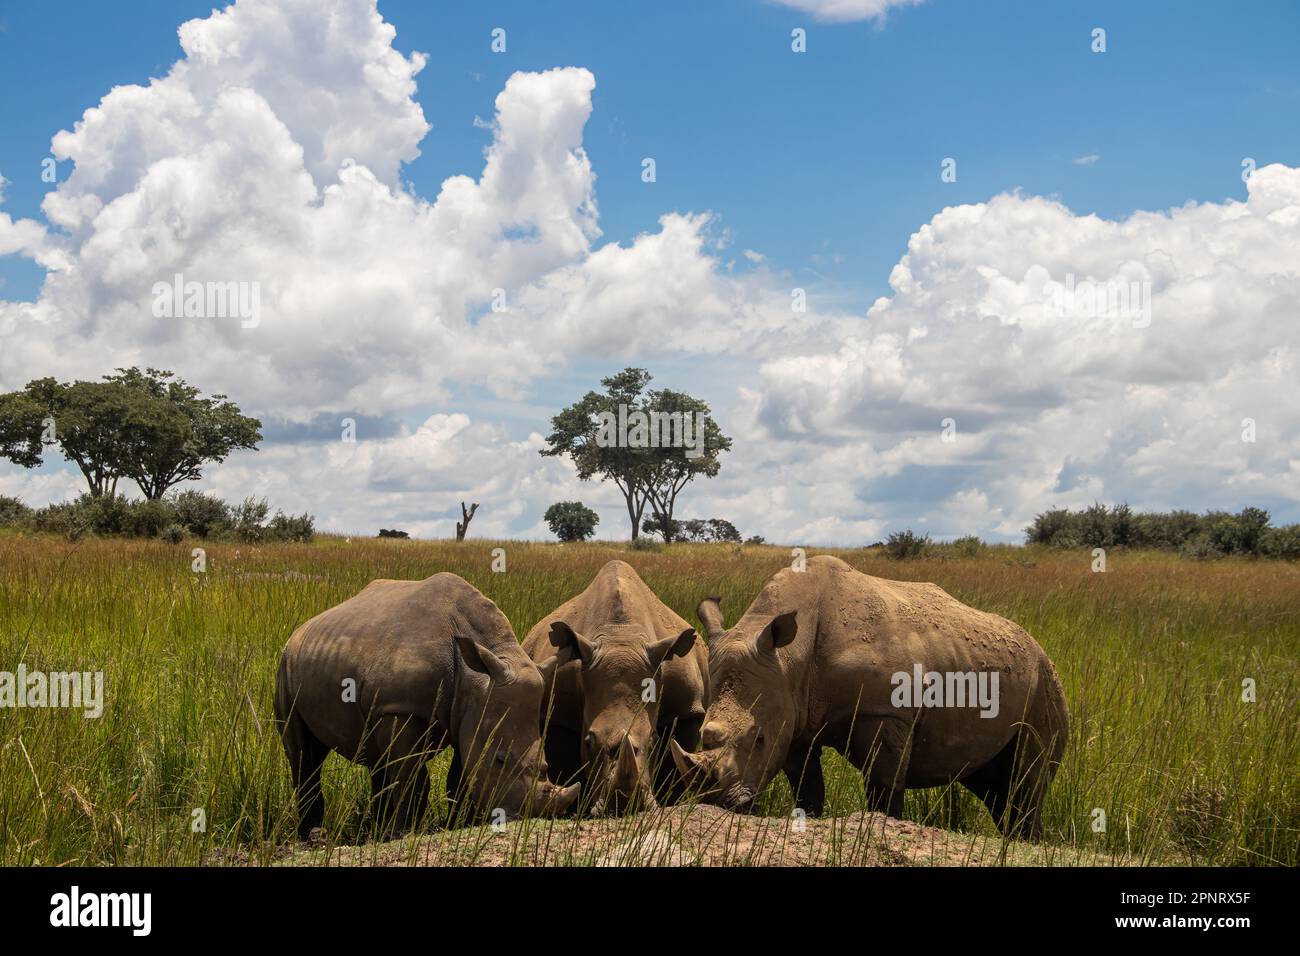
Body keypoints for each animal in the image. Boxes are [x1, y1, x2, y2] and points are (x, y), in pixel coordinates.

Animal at [274, 573, 579, 838]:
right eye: (500, 759)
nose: (527, 816)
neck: (475, 677)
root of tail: (301, 629)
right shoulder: (400, 708)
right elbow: (409, 777)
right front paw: (400, 834)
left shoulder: (468, 712)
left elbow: (459, 776)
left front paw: (458, 824)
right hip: (286, 665)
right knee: (303, 754)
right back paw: (311, 836)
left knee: (376, 756)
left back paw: (372, 829)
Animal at [522, 560, 708, 814]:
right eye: (588, 742)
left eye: (654, 741)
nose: (624, 806)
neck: (621, 635)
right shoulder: (559, 713)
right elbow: (566, 764)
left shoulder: (686, 708)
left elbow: (674, 763)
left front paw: (671, 802)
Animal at [672, 555, 1068, 839]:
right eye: (702, 733)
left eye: (759, 739)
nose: (720, 803)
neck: (789, 659)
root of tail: (1038, 647)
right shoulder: (793, 714)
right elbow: (806, 786)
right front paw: (808, 818)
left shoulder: (884, 712)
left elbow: (884, 786)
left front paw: (885, 826)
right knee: (994, 786)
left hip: (1045, 684)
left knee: (1026, 782)